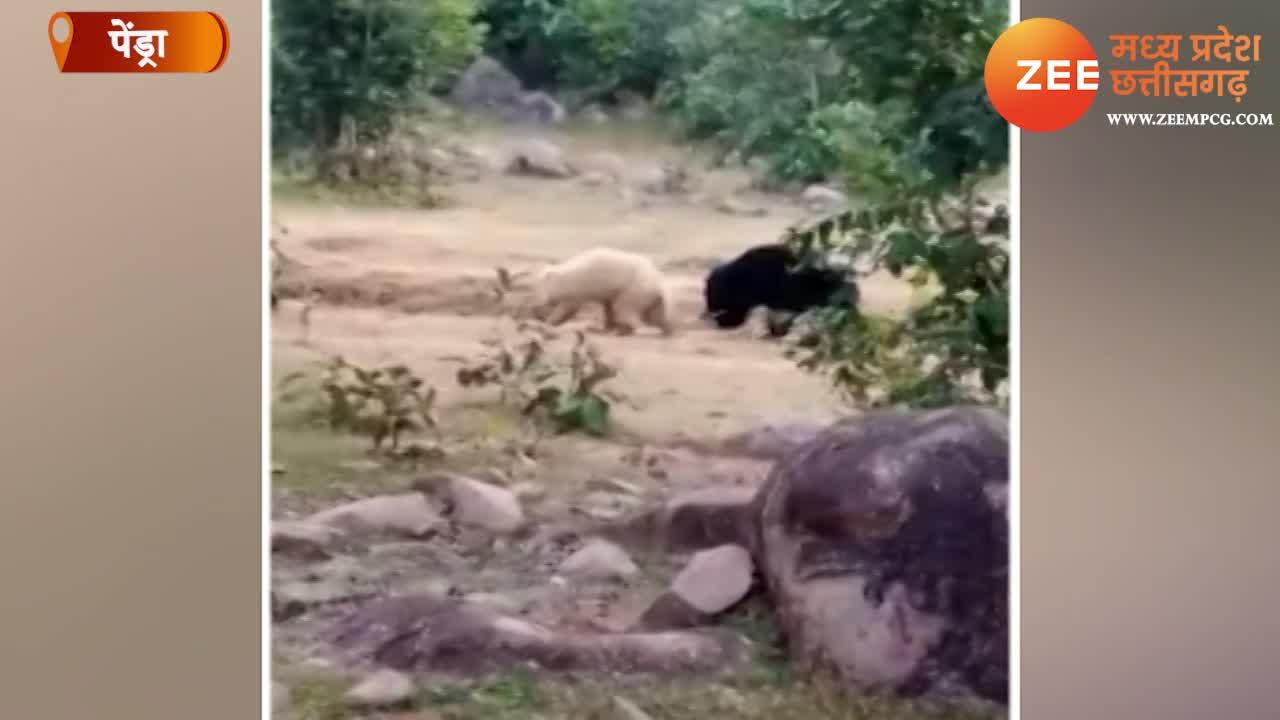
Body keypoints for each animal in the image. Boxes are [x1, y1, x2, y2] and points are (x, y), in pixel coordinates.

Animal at [527, 247, 675, 336]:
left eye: (537, 289)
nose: (536, 305)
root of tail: (658, 279)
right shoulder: (604, 290)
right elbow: (607, 305)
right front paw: (606, 326)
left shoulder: (579, 285)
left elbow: (569, 307)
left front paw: (548, 322)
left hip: (635, 286)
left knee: (626, 307)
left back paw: (646, 329)